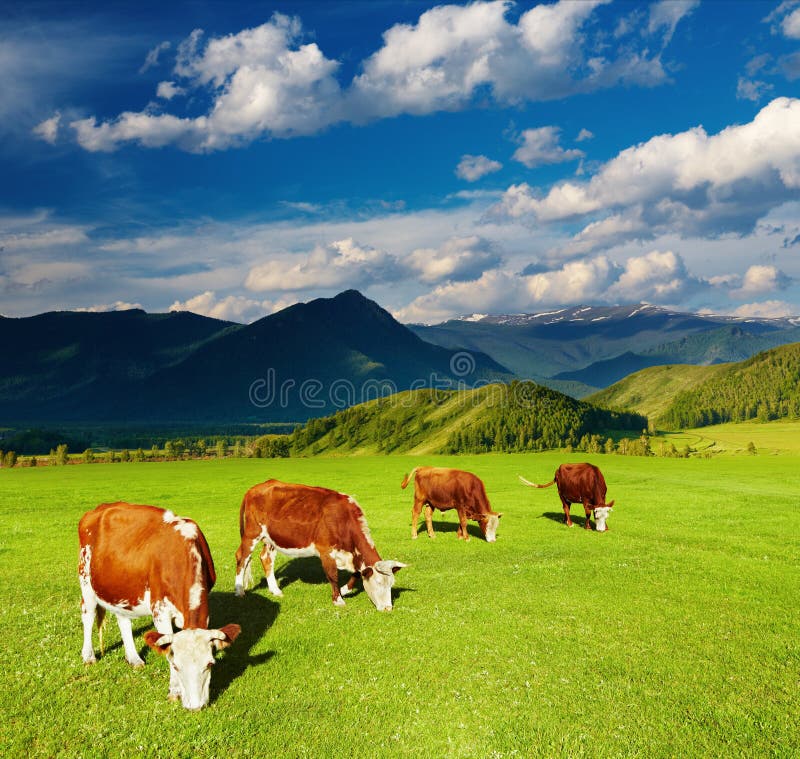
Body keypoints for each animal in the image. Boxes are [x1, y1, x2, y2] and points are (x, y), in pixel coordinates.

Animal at [78, 502, 241, 710]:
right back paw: (88, 656)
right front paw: (174, 692)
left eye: (210, 664)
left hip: (121, 587)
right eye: (176, 665)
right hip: (86, 579)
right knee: (88, 615)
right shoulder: (160, 610)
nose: (195, 707)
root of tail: (101, 508)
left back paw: (134, 658)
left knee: (123, 620)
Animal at [234, 480, 406, 611]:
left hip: (271, 539)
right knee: (242, 558)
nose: (388, 608)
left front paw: (344, 590)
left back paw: (275, 590)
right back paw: (239, 590)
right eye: (378, 583)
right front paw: (338, 600)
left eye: (391, 584)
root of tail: (255, 488)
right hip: (251, 534)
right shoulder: (326, 550)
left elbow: (357, 573)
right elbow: (333, 575)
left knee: (266, 558)